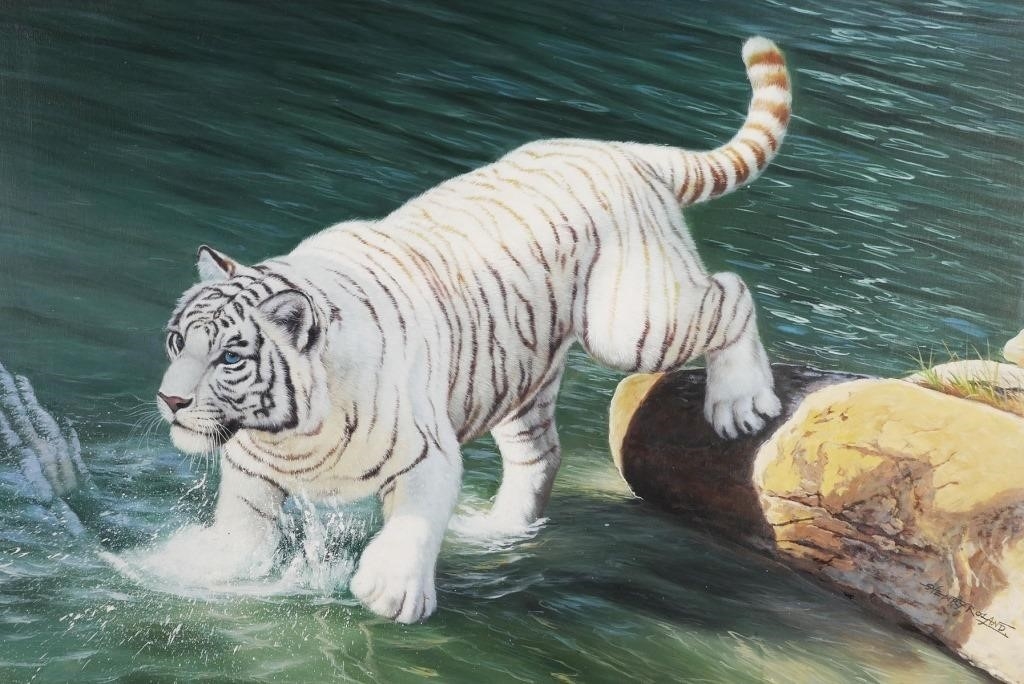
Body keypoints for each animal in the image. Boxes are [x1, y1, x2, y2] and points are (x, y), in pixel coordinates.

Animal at [151, 36, 791, 623]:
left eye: (230, 359)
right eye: (177, 342)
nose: (170, 400)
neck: (292, 434)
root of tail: (622, 149)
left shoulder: (427, 452)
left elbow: (413, 523)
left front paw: (391, 593)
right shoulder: (252, 468)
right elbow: (242, 524)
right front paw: (209, 568)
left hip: (633, 322)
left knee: (732, 291)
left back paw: (742, 405)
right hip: (522, 377)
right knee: (541, 454)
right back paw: (497, 533)